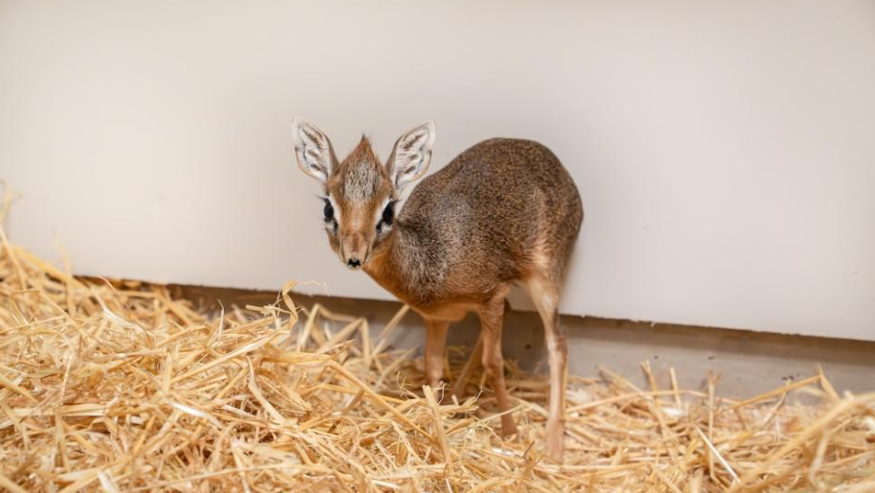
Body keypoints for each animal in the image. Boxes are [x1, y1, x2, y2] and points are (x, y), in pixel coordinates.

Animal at [291, 119, 583, 461]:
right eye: (328, 209)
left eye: (388, 211)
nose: (354, 256)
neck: (431, 261)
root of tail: (560, 167)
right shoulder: (436, 317)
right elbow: (432, 370)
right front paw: (436, 429)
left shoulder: (492, 296)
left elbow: (494, 365)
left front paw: (511, 434)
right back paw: (457, 398)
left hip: (545, 277)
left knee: (558, 339)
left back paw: (554, 444)